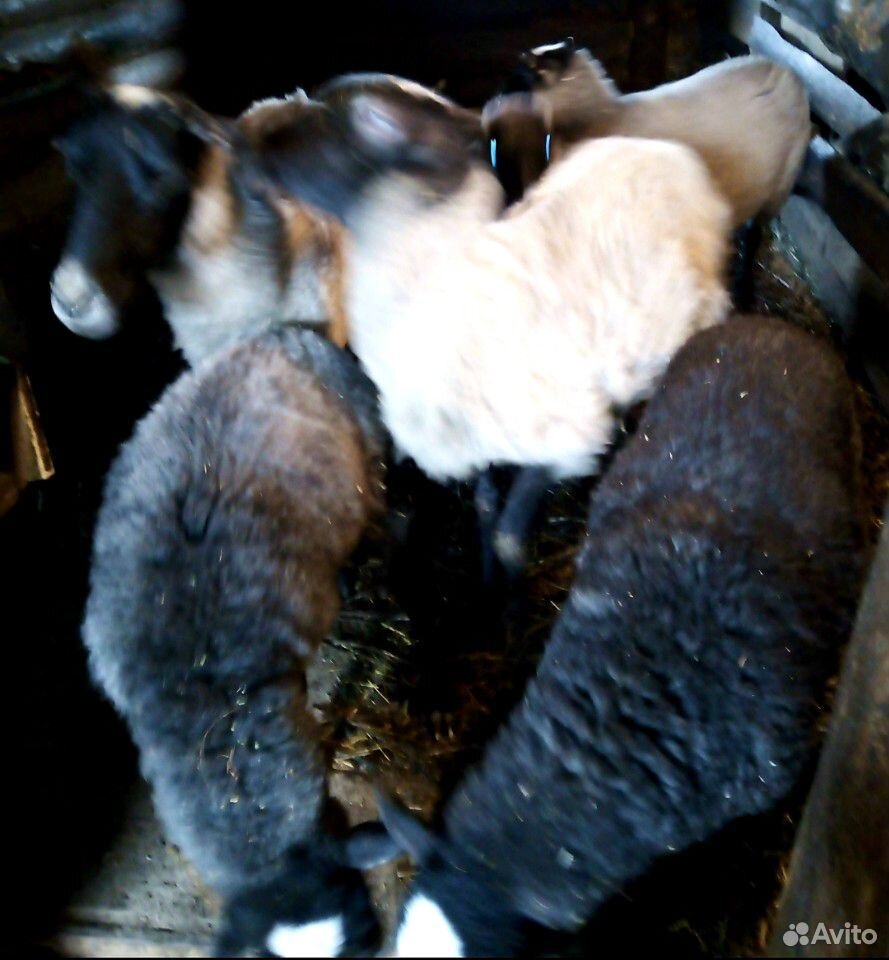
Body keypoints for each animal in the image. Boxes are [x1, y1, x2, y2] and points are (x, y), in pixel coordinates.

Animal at [238, 73, 732, 574]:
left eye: (373, 119)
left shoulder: (562, 442)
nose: (248, 139)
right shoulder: (475, 442)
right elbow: (485, 504)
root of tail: (669, 151)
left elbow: (509, 538)